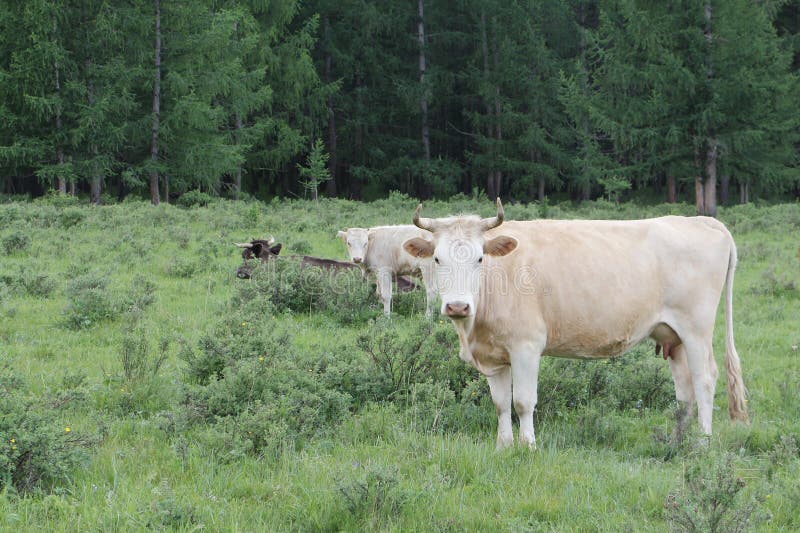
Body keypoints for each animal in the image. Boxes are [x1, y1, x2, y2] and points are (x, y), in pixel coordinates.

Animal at [401, 198, 748, 449]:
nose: (457, 305)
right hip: (672, 336)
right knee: (684, 389)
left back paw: (702, 442)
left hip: (696, 330)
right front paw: (503, 447)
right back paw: (678, 440)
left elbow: (523, 402)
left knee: (705, 380)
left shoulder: (526, 346)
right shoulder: (494, 355)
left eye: (479, 259)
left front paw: (528, 447)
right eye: (437, 259)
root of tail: (701, 220)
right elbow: (500, 404)